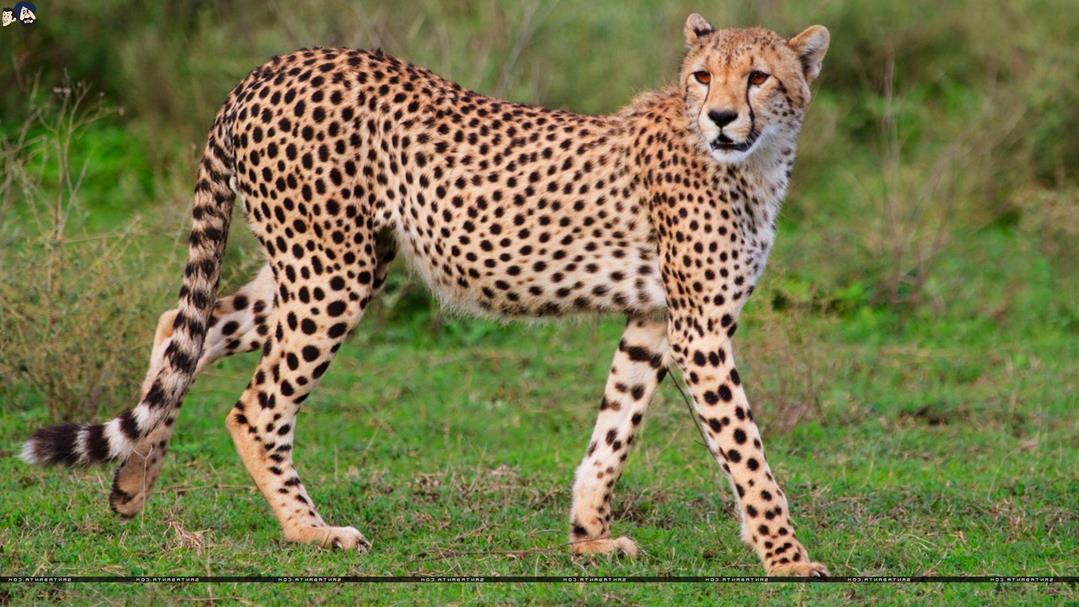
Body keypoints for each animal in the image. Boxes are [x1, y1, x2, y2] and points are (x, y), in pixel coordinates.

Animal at [22, 14, 831, 576]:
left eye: (759, 77)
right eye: (702, 76)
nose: (721, 117)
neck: (754, 161)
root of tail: (271, 67)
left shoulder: (656, 320)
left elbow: (615, 427)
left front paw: (588, 536)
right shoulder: (700, 331)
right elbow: (747, 454)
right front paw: (787, 557)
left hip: (318, 264)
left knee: (181, 326)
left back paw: (133, 481)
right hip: (333, 271)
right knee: (255, 404)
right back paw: (311, 530)